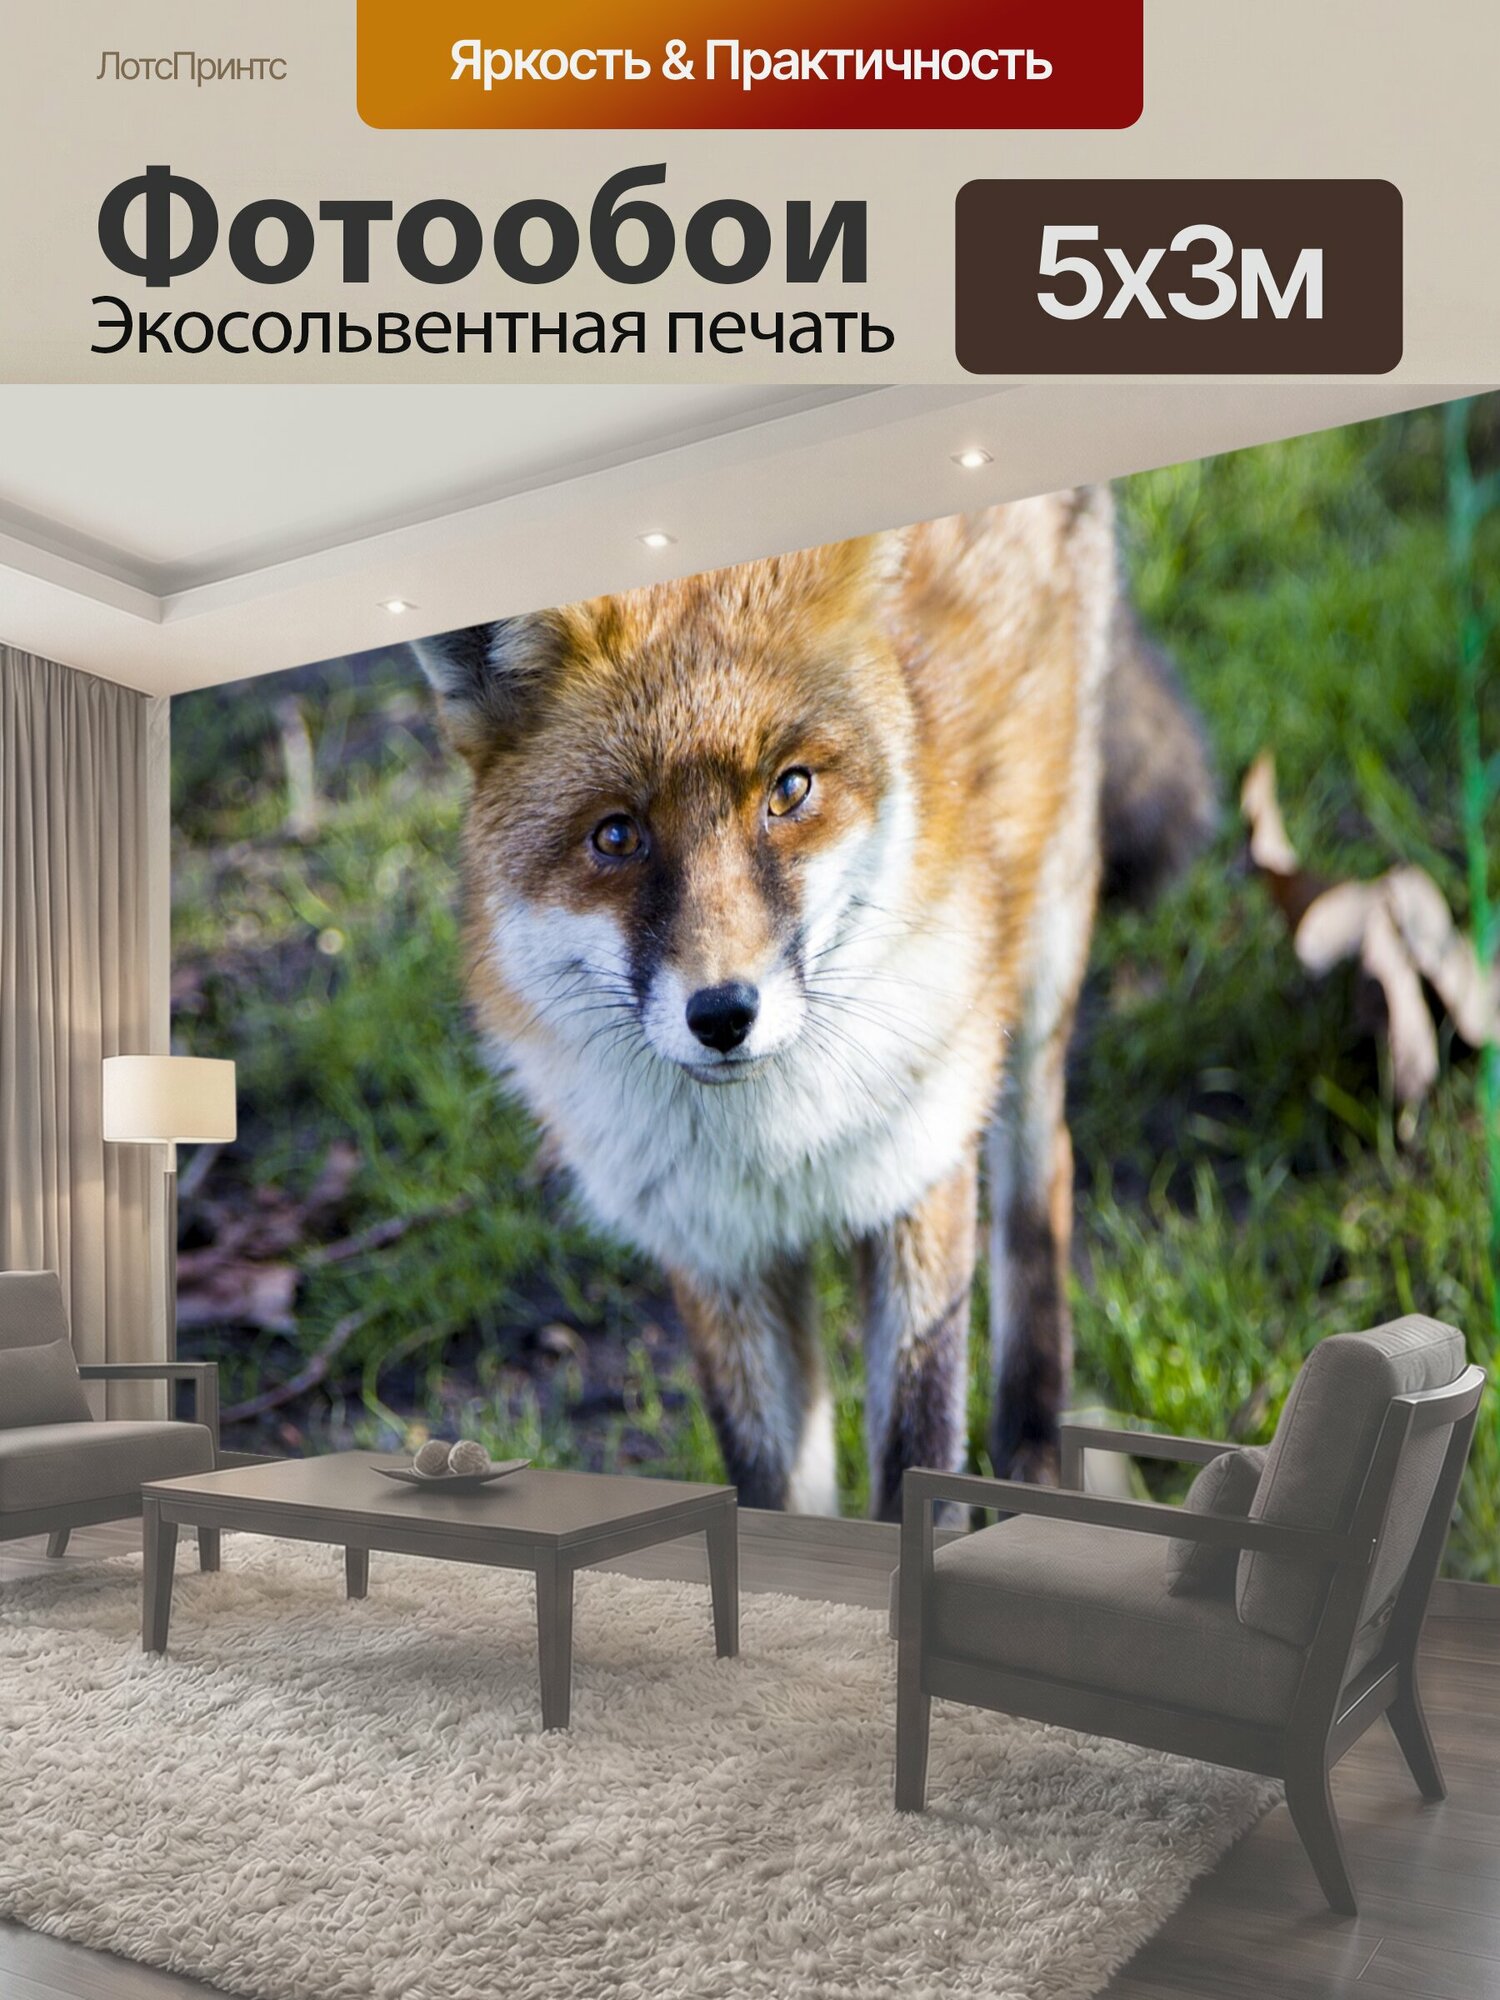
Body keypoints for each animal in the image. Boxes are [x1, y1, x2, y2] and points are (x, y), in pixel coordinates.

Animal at [416, 490, 1213, 1518]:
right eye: (617, 836)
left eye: (789, 790)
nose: (723, 1013)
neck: (778, 1148)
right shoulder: (721, 1259)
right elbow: (772, 1489)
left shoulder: (917, 1188)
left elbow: (920, 1462)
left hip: (1039, 953)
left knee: (1043, 1186)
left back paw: (1036, 1447)